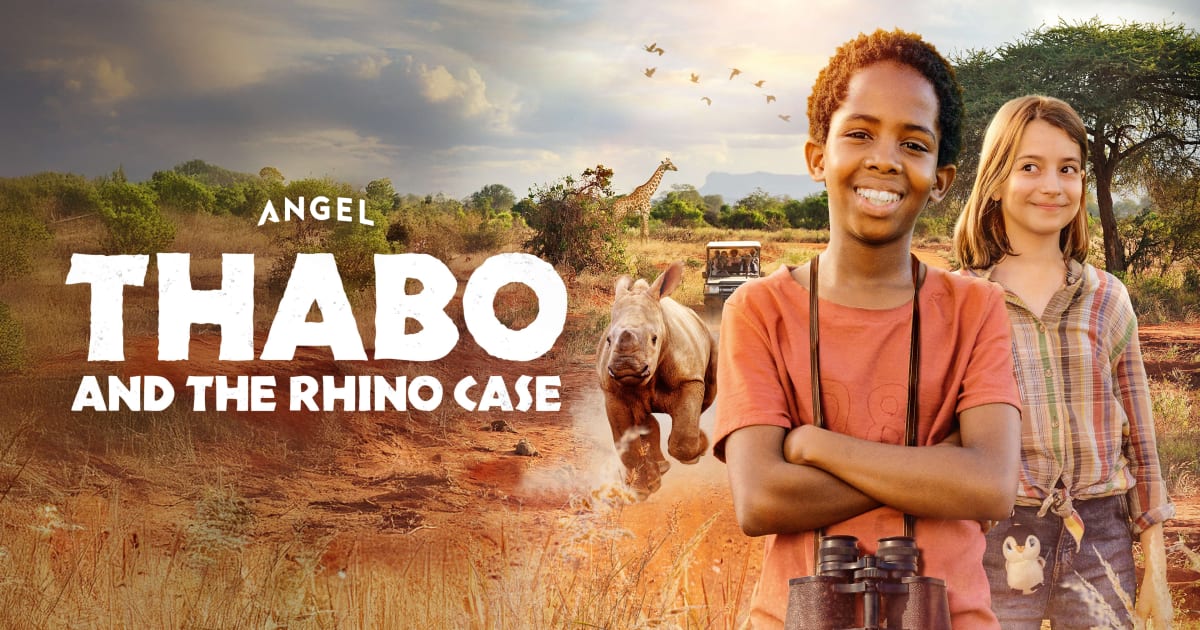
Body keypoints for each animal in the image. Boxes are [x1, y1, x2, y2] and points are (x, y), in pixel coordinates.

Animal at [597, 262, 717, 498]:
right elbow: (625, 443)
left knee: (708, 395)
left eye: (654, 339)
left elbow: (683, 438)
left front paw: (699, 448)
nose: (625, 366)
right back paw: (660, 468)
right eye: (608, 340)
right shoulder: (612, 391)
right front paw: (642, 488)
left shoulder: (689, 379)